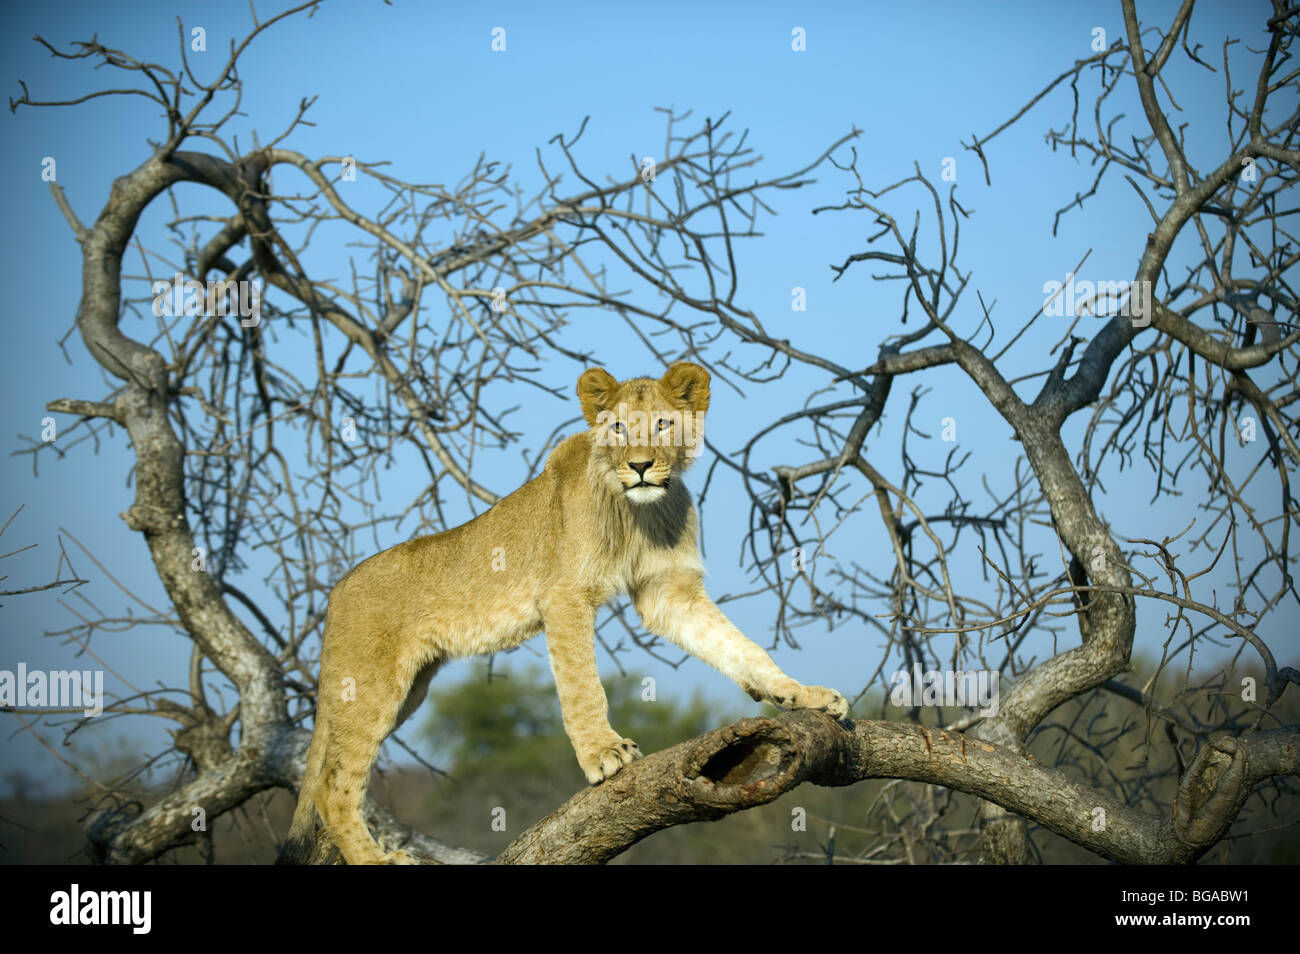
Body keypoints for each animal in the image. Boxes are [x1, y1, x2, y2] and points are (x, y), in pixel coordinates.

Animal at [278, 362, 849, 865]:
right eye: (617, 429)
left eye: (662, 425)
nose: (640, 465)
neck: (637, 512)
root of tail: (337, 591)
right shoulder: (565, 595)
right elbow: (581, 681)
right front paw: (604, 753)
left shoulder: (669, 593)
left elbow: (739, 646)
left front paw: (801, 693)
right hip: (370, 688)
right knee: (332, 788)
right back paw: (376, 858)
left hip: (407, 690)